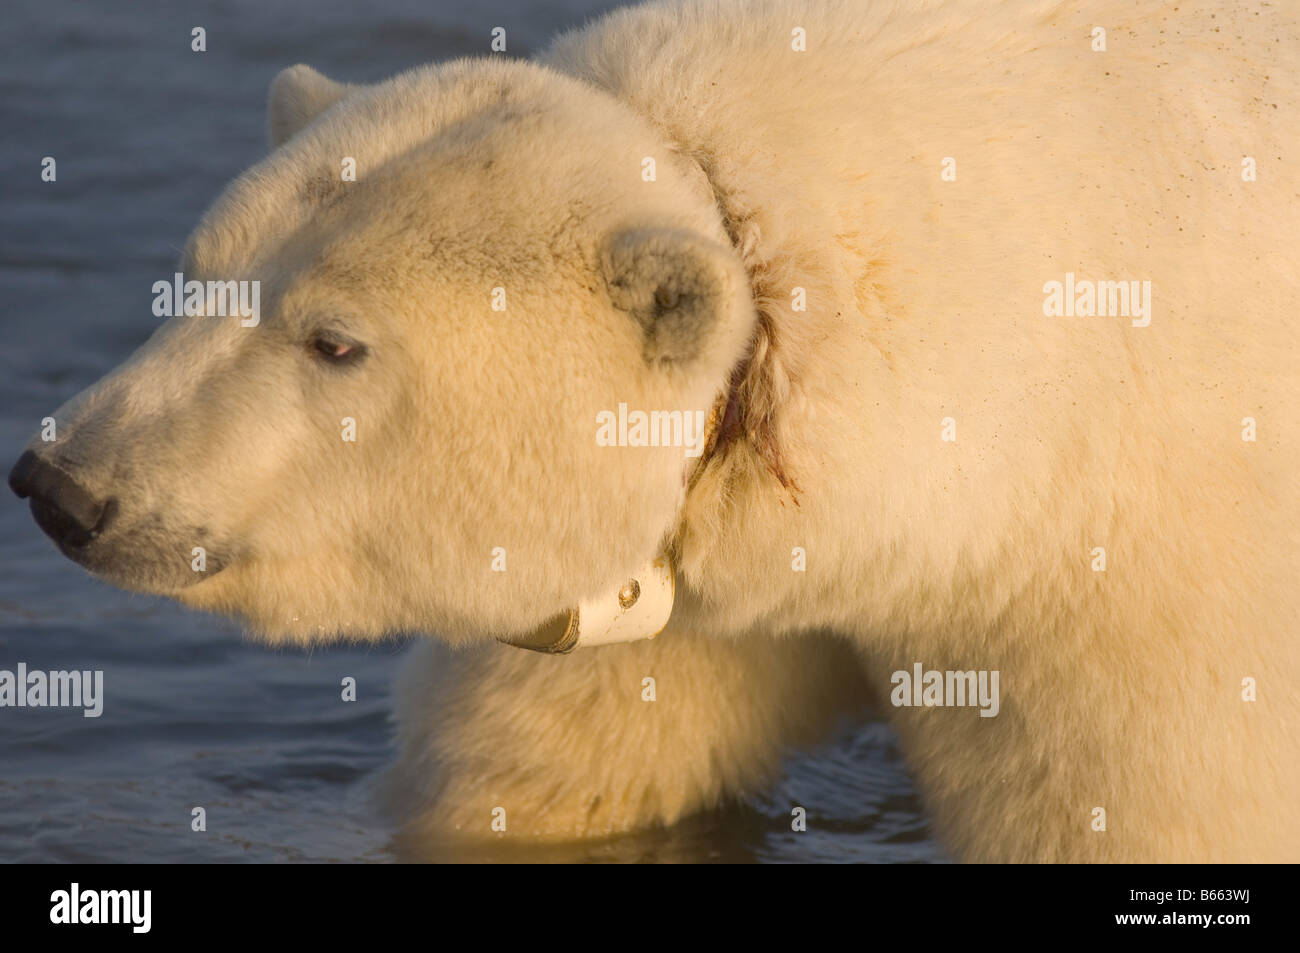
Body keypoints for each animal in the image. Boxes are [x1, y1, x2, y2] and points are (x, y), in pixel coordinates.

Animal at [8, 0, 1298, 862]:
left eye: (334, 342)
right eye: (195, 280)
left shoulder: (1142, 594)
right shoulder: (678, 583)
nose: (61, 484)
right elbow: (548, 768)